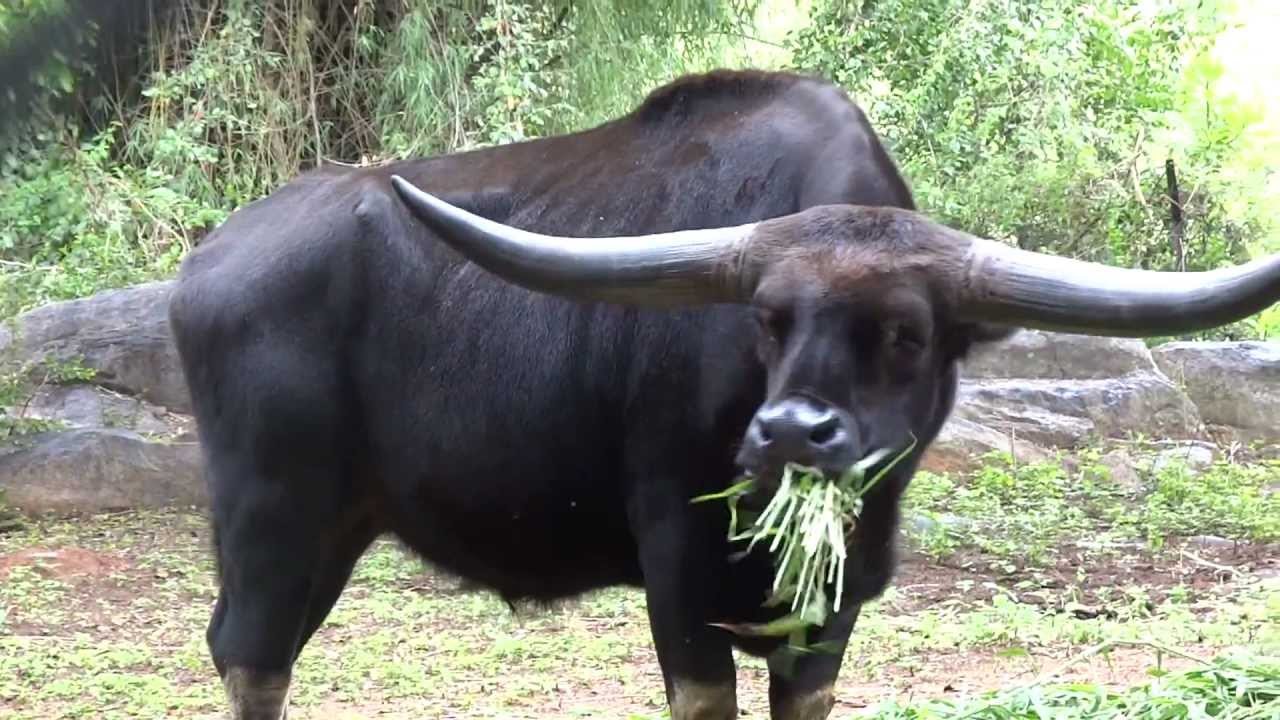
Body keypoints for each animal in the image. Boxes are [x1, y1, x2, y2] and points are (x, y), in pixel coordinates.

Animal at [167, 69, 1280, 720]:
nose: (790, 434)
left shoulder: (828, 614)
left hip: (335, 525)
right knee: (250, 654)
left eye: (906, 332)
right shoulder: (680, 579)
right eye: (767, 319)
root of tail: (206, 265)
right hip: (270, 513)